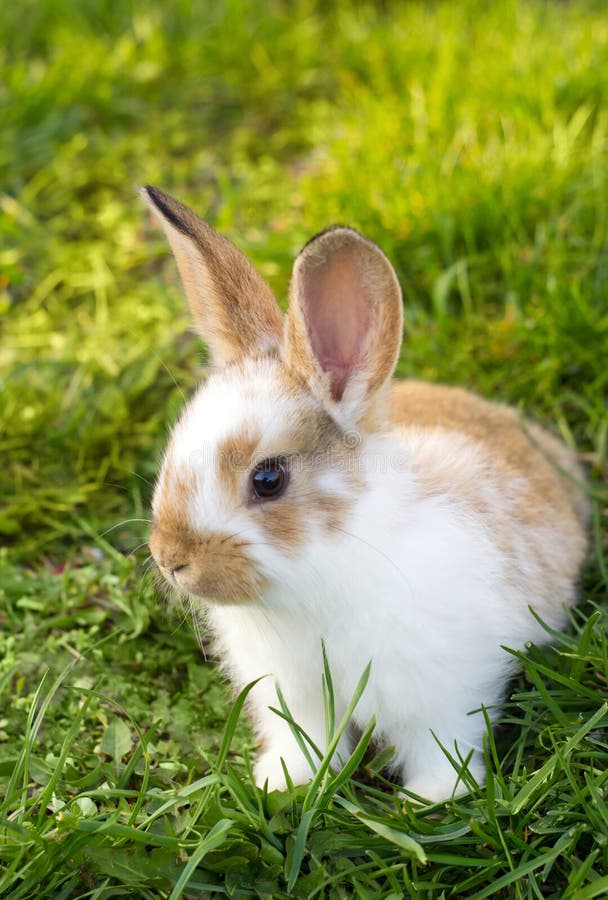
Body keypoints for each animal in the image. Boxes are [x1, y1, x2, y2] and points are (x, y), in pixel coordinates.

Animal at [142, 185, 589, 802]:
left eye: (268, 479)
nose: (171, 559)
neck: (320, 572)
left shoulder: (446, 694)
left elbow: (443, 745)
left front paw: (431, 798)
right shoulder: (295, 699)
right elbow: (304, 740)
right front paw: (282, 781)